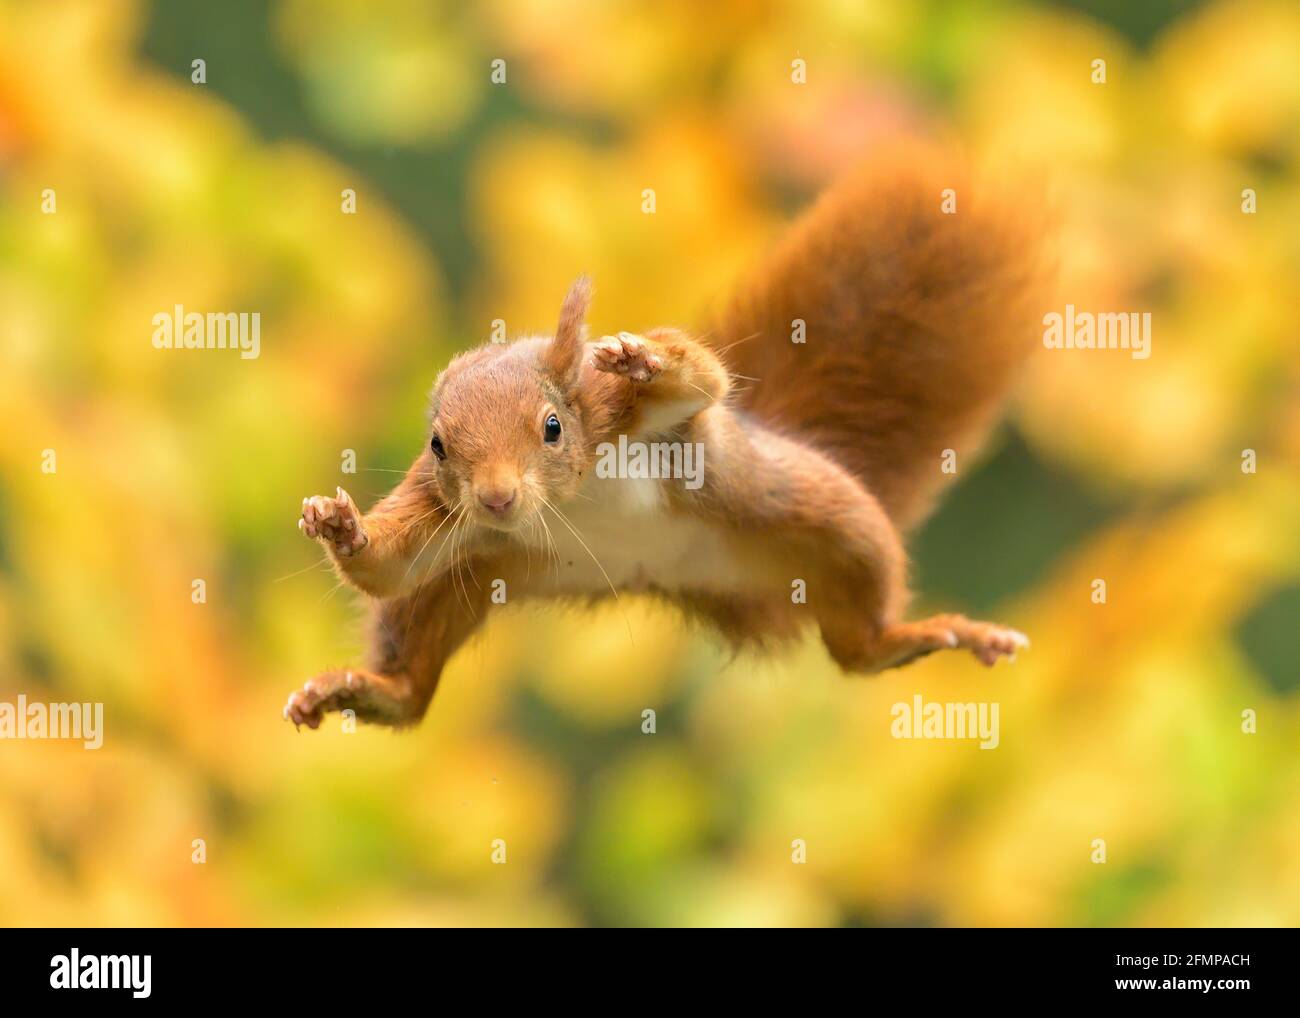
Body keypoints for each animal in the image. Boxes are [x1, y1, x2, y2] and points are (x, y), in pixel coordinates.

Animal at [285, 143, 1048, 730]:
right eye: (439, 446)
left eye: (552, 427)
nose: (498, 500)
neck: (570, 499)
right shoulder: (444, 511)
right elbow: (388, 569)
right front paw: (340, 526)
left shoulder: (626, 413)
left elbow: (702, 382)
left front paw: (642, 357)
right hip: (463, 584)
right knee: (414, 685)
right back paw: (366, 691)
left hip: (836, 527)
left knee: (861, 643)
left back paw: (933, 633)